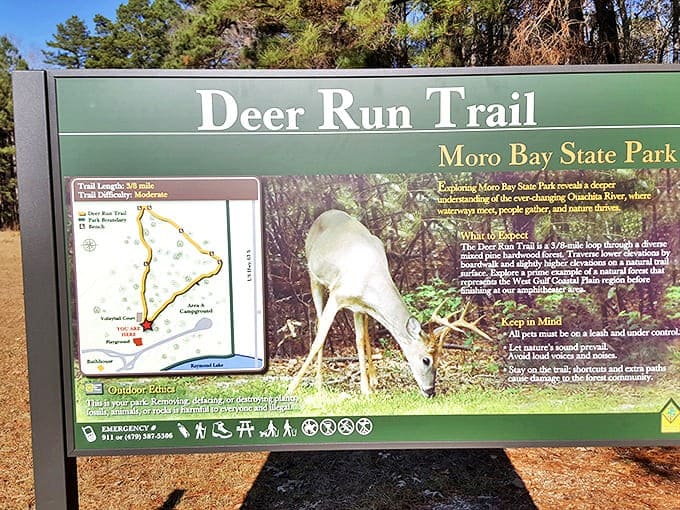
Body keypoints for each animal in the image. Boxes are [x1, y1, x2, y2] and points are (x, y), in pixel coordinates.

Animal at [287, 209, 491, 398]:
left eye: (439, 358)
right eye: (426, 360)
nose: (430, 391)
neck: (369, 277)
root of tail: (324, 214)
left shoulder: (359, 306)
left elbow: (359, 339)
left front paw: (365, 389)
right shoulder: (338, 295)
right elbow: (319, 339)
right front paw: (292, 387)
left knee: (364, 332)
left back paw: (373, 379)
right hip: (314, 277)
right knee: (319, 321)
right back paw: (318, 383)